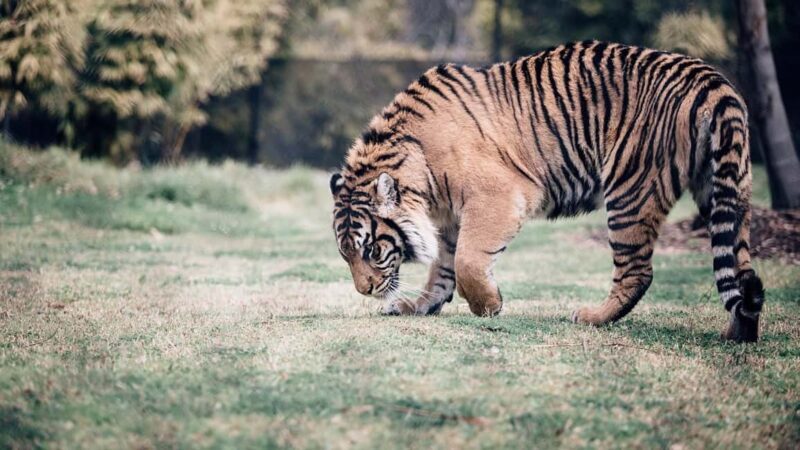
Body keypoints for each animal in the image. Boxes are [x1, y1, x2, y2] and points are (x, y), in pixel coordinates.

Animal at [329, 41, 766, 342]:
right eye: (345, 254)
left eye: (372, 249)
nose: (365, 290)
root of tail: (712, 81)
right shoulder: (450, 217)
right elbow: (443, 267)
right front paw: (418, 306)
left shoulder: (497, 196)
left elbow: (467, 260)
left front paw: (489, 306)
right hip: (725, 189)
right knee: (738, 266)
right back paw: (737, 332)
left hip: (630, 189)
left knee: (638, 271)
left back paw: (591, 317)